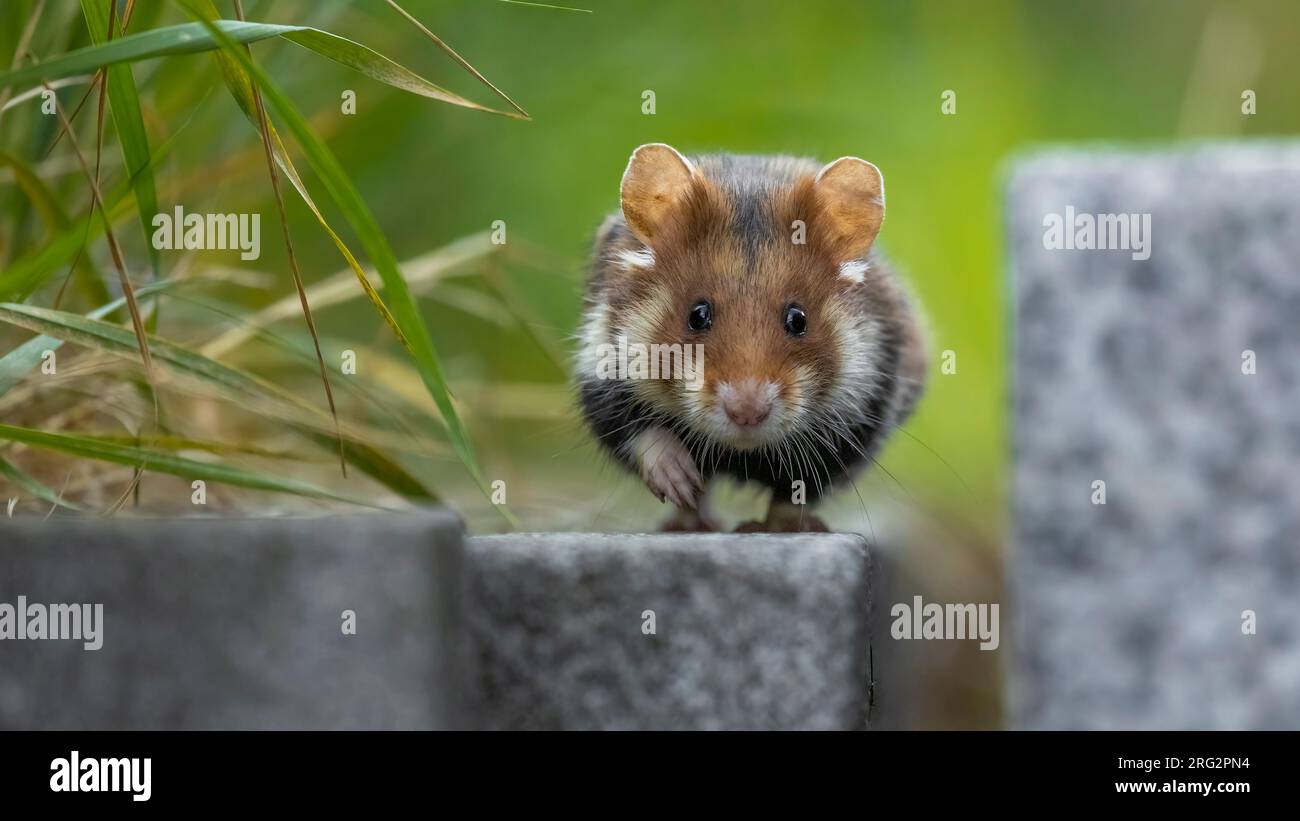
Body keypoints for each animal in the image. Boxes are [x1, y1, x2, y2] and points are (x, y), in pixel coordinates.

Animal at [577, 143, 927, 532]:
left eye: (798, 319)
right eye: (698, 315)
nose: (746, 413)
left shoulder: (861, 417)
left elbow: (796, 490)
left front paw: (778, 527)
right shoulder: (600, 366)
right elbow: (641, 434)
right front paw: (678, 482)